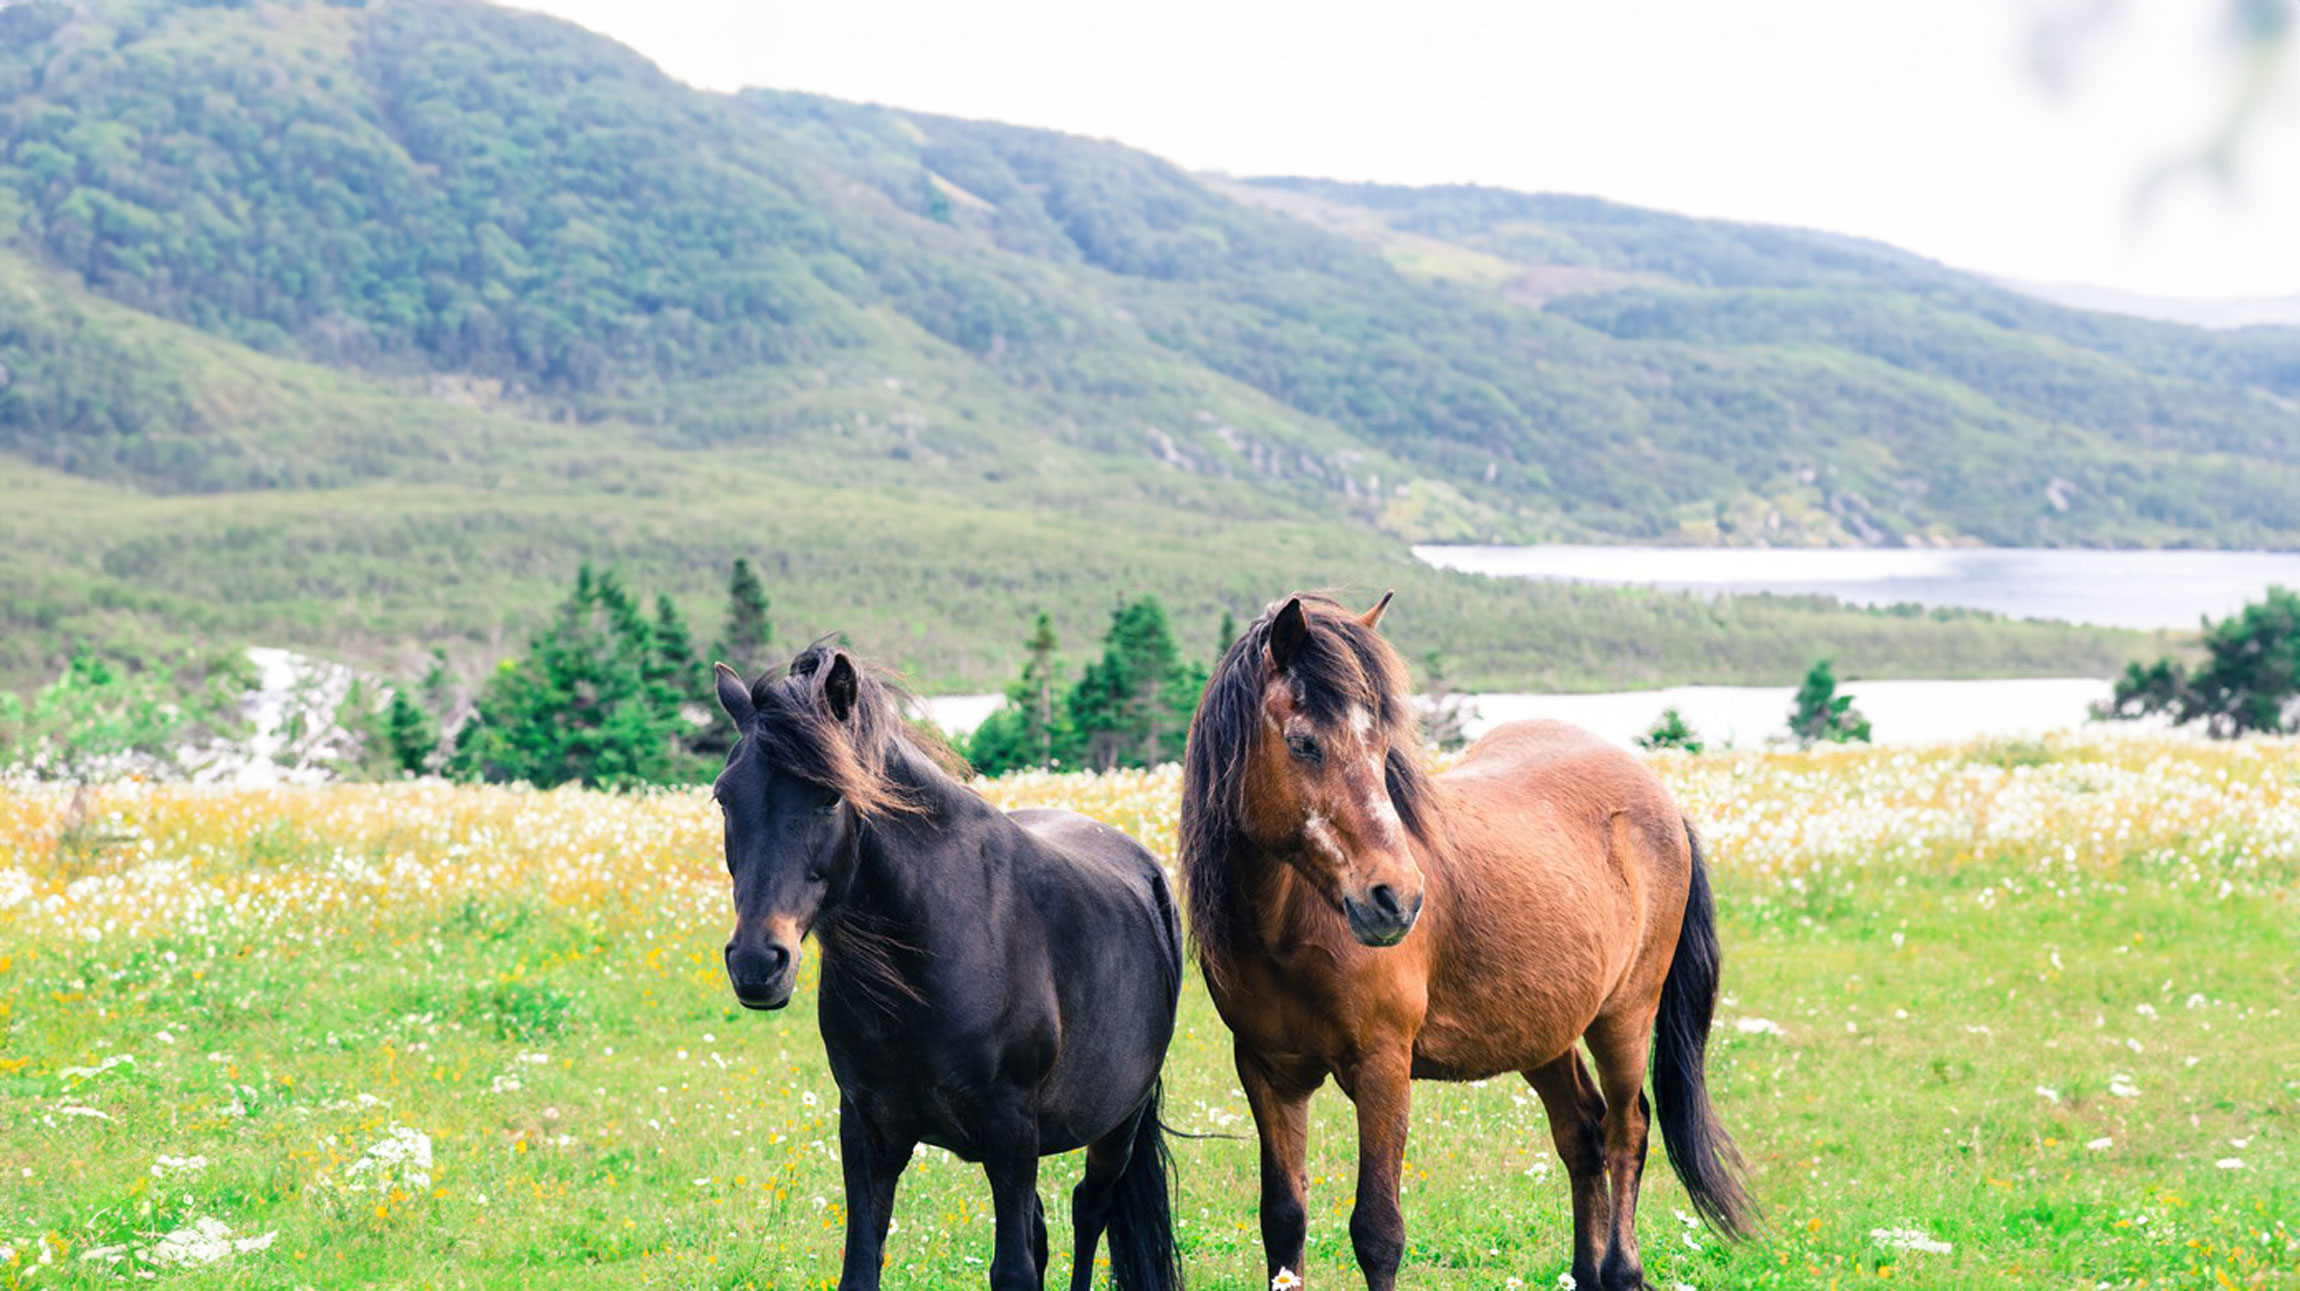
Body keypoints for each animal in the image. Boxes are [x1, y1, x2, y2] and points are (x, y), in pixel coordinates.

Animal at [712, 644, 1187, 1291]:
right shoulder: (867, 1127)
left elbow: (1014, 1268)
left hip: (1118, 1123)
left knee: (1090, 1209)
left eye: (831, 795)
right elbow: (862, 1266)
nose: (758, 961)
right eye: (724, 797)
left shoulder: (1011, 1130)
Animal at [1178, 593, 1754, 1291]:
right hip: (1544, 1032)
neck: (1289, 929)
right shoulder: (1268, 1074)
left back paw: (1621, 1269)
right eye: (1304, 743)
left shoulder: (1383, 1067)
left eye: (1382, 750)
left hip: (1625, 1016)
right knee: (1582, 1133)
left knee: (1627, 1130)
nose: (1396, 899)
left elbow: (1377, 1232)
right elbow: (1284, 1221)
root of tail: (1661, 798)